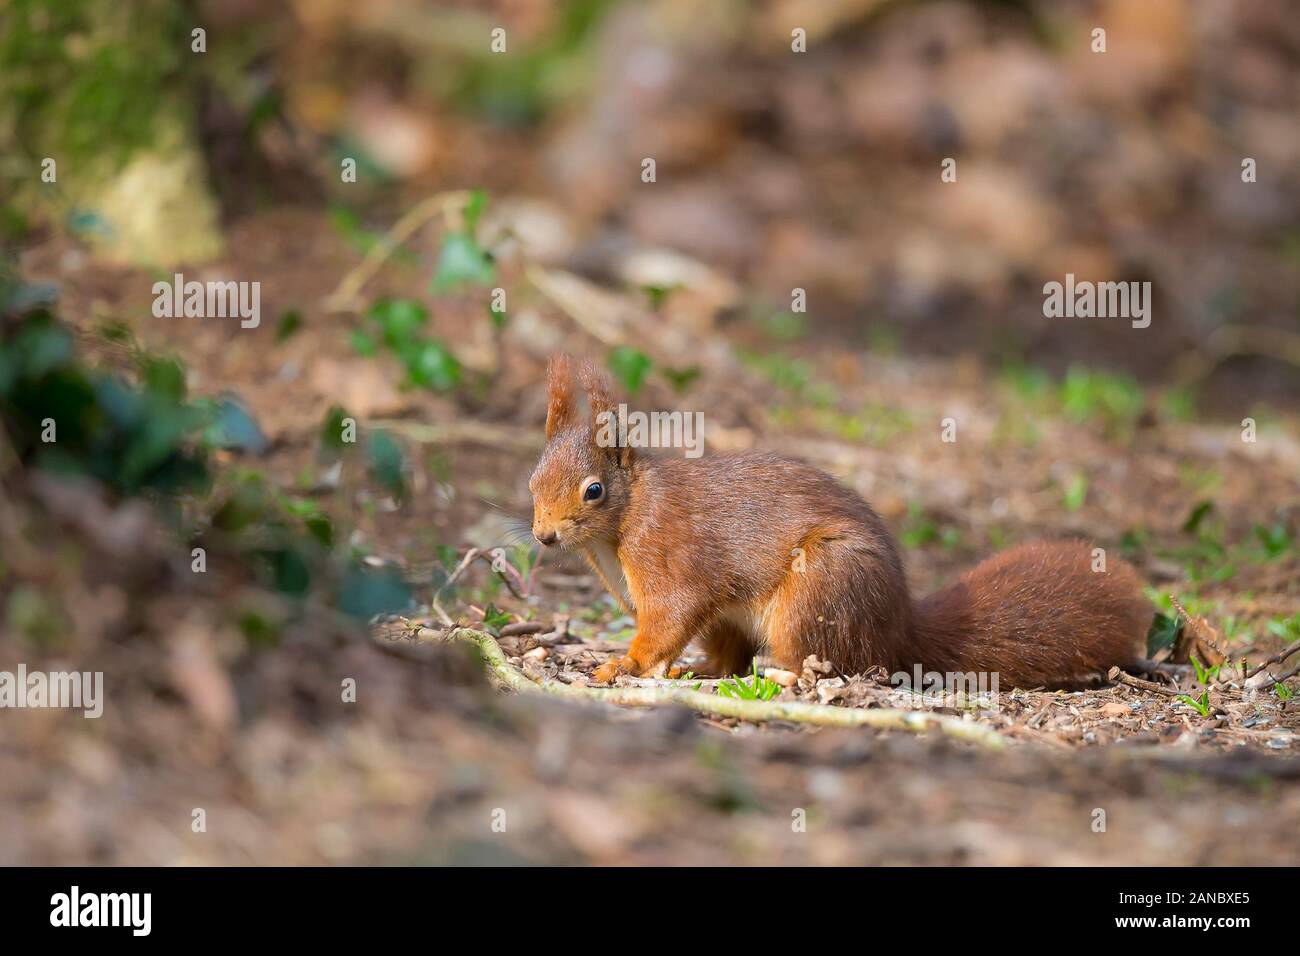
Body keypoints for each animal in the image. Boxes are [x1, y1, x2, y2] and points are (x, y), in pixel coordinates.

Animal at [528, 354, 1150, 688]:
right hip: (740, 617)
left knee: (830, 664)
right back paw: (705, 671)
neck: (625, 521)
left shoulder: (671, 557)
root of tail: (898, 629)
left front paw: (624, 663)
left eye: (593, 491)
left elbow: (669, 617)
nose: (544, 535)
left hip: (821, 587)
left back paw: (783, 674)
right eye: (531, 482)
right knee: (731, 654)